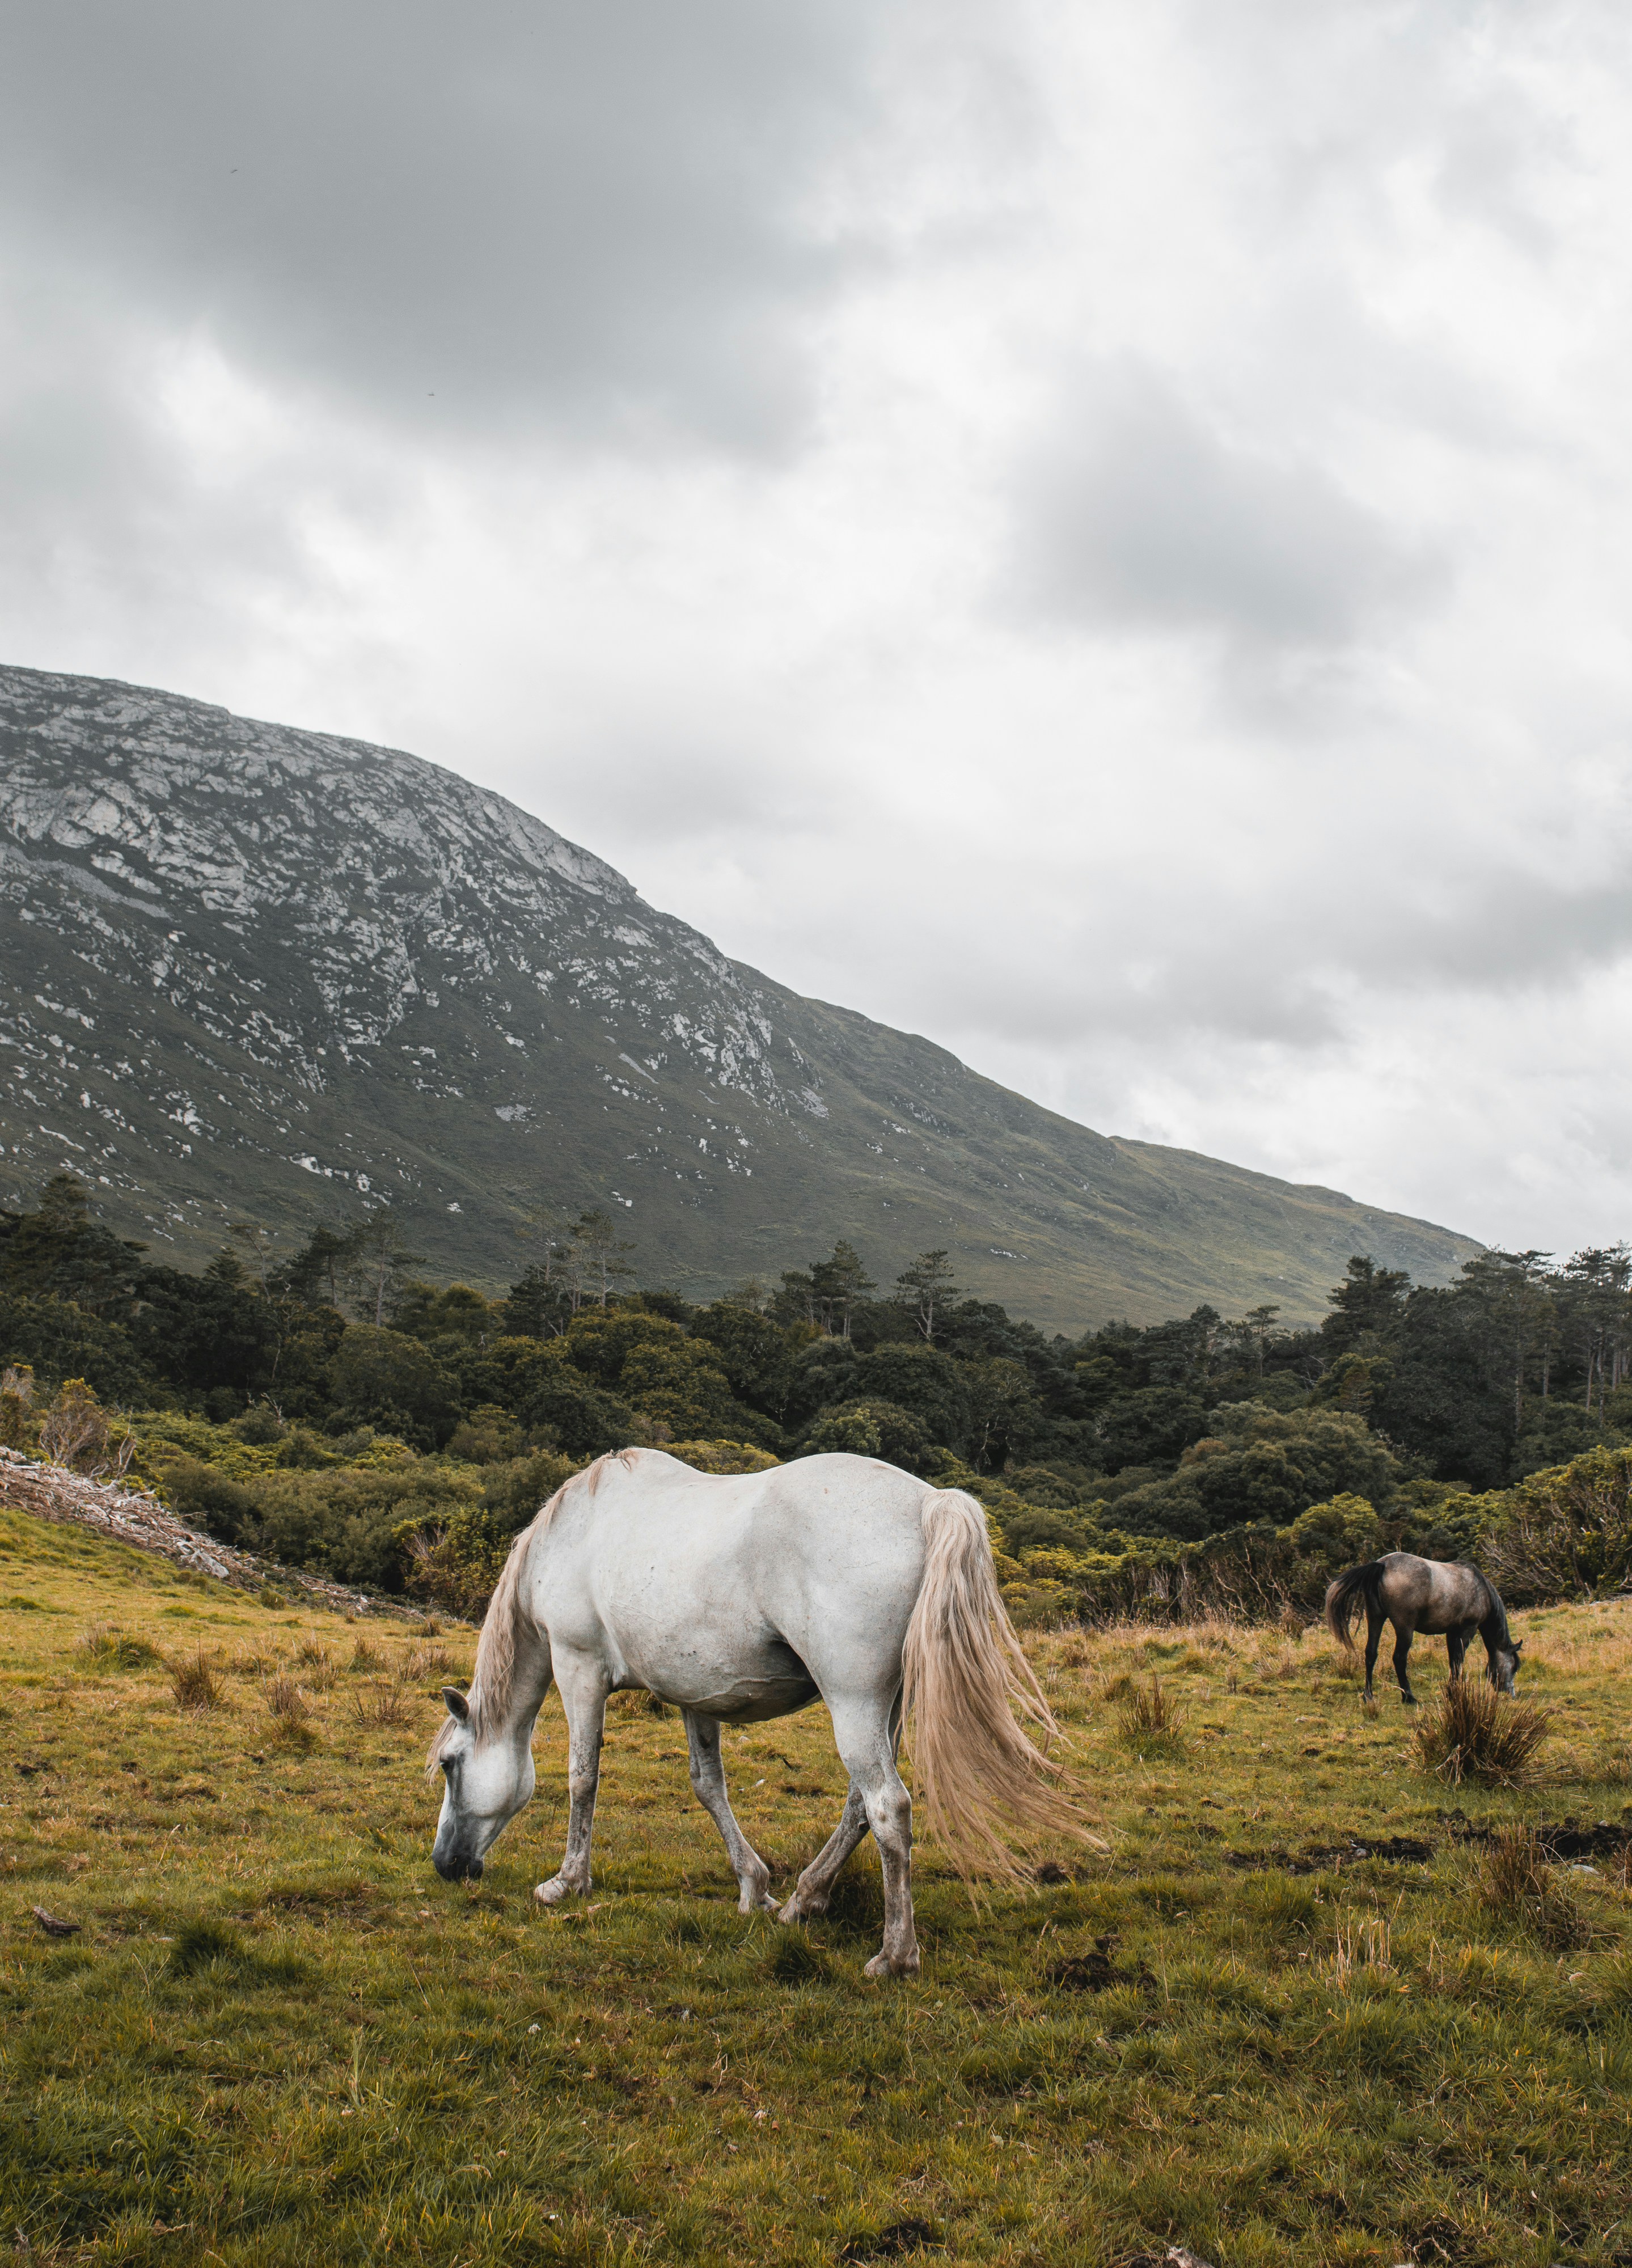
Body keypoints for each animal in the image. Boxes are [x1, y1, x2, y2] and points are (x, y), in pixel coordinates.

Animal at [427, 1447, 1091, 1977]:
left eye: (450, 1764)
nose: (445, 1865)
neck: (574, 1534)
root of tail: (929, 1503)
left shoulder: (578, 1667)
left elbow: (581, 1779)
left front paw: (567, 1882)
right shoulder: (694, 1694)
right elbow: (707, 1785)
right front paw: (755, 1888)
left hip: (853, 1701)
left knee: (888, 1808)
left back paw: (894, 1955)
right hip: (887, 1707)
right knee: (860, 1806)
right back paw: (804, 1900)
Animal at [1324, 1551, 1522, 1705]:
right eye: (1514, 1667)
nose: (1511, 1695)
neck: (1481, 1590)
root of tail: (1383, 1565)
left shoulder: (1452, 1632)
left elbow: (1453, 1660)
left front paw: (1452, 1689)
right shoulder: (1467, 1630)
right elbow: (1458, 1660)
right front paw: (1455, 1692)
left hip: (1375, 1618)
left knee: (1371, 1653)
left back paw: (1368, 1696)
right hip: (1405, 1628)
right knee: (1399, 1658)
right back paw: (1409, 1697)